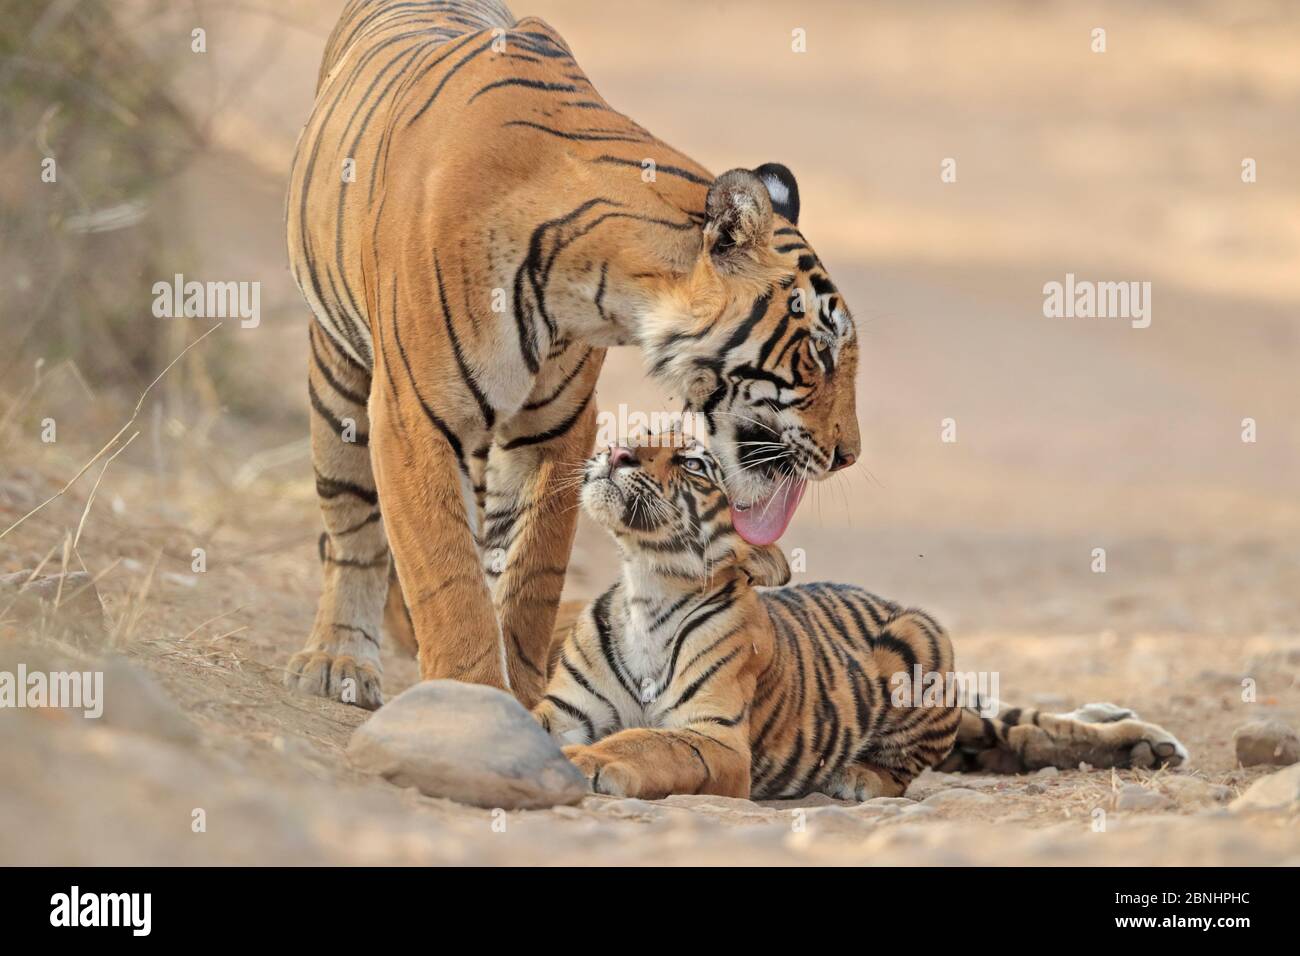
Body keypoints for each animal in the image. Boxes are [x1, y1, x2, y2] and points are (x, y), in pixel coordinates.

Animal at [285, 0, 860, 711]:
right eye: (821, 351)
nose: (849, 454)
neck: (600, 288)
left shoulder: (558, 427)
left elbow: (534, 570)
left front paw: (527, 695)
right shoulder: (414, 415)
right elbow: (446, 575)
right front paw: (470, 699)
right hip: (338, 378)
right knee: (353, 529)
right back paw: (339, 657)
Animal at [534, 439, 1189, 800]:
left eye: (694, 463)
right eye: (635, 437)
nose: (615, 452)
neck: (649, 591)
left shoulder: (713, 736)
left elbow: (644, 741)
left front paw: (584, 763)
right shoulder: (562, 710)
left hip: (922, 641)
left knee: (938, 750)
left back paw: (859, 778)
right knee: (1003, 728)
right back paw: (1135, 736)